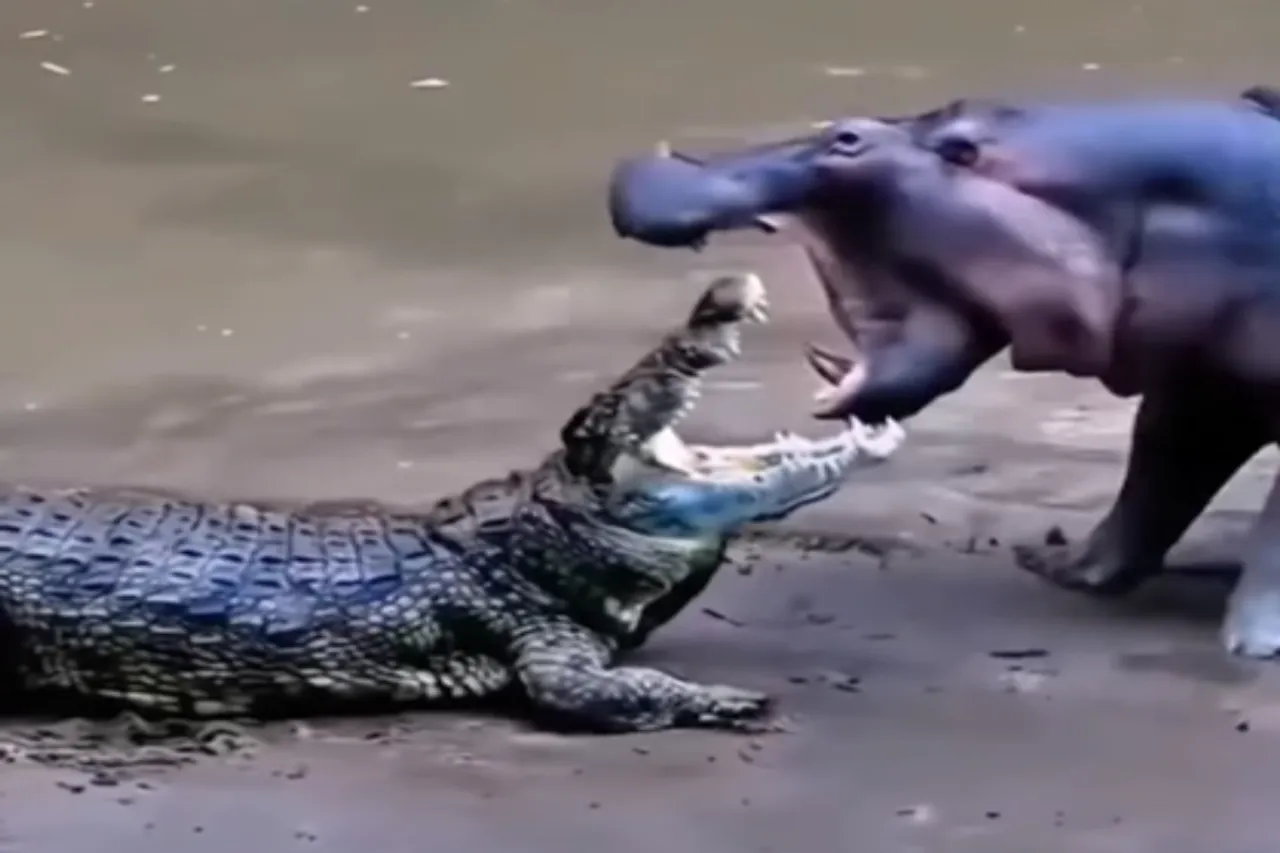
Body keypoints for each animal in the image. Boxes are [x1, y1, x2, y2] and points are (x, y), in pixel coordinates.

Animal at [605, 89, 1280, 660]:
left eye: (848, 138)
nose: (650, 168)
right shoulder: (1202, 387)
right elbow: (1154, 480)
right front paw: (1060, 567)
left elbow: (1260, 525)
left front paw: (1249, 647)